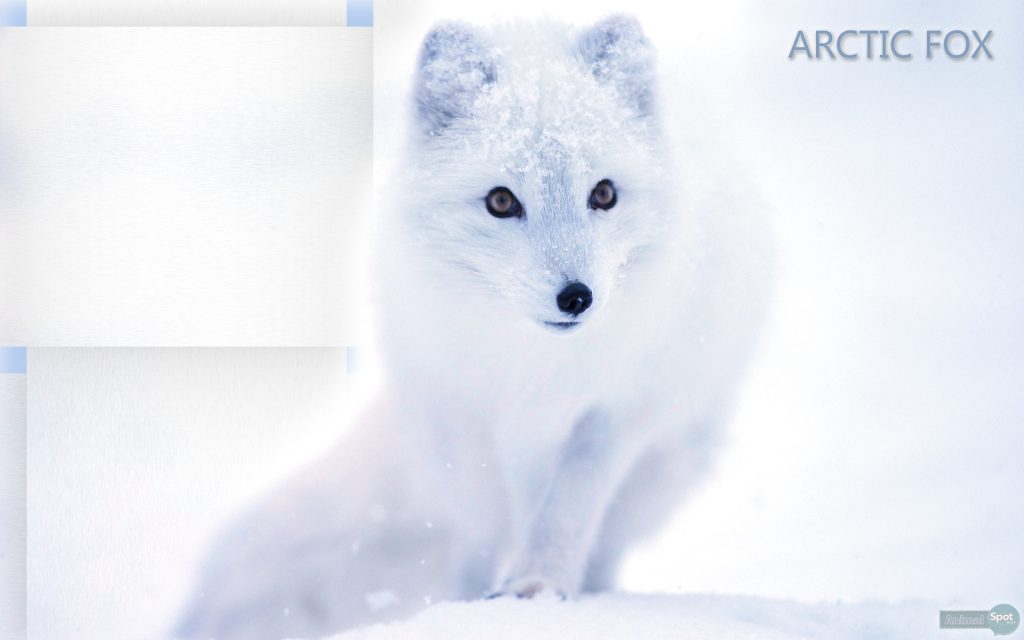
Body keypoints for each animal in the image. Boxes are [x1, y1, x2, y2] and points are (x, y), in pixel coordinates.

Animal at [176, 15, 771, 640]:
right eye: (502, 201)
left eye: (604, 193)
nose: (576, 297)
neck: (535, 368)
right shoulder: (462, 414)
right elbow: (482, 531)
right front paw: (466, 609)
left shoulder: (619, 412)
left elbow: (568, 508)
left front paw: (538, 589)